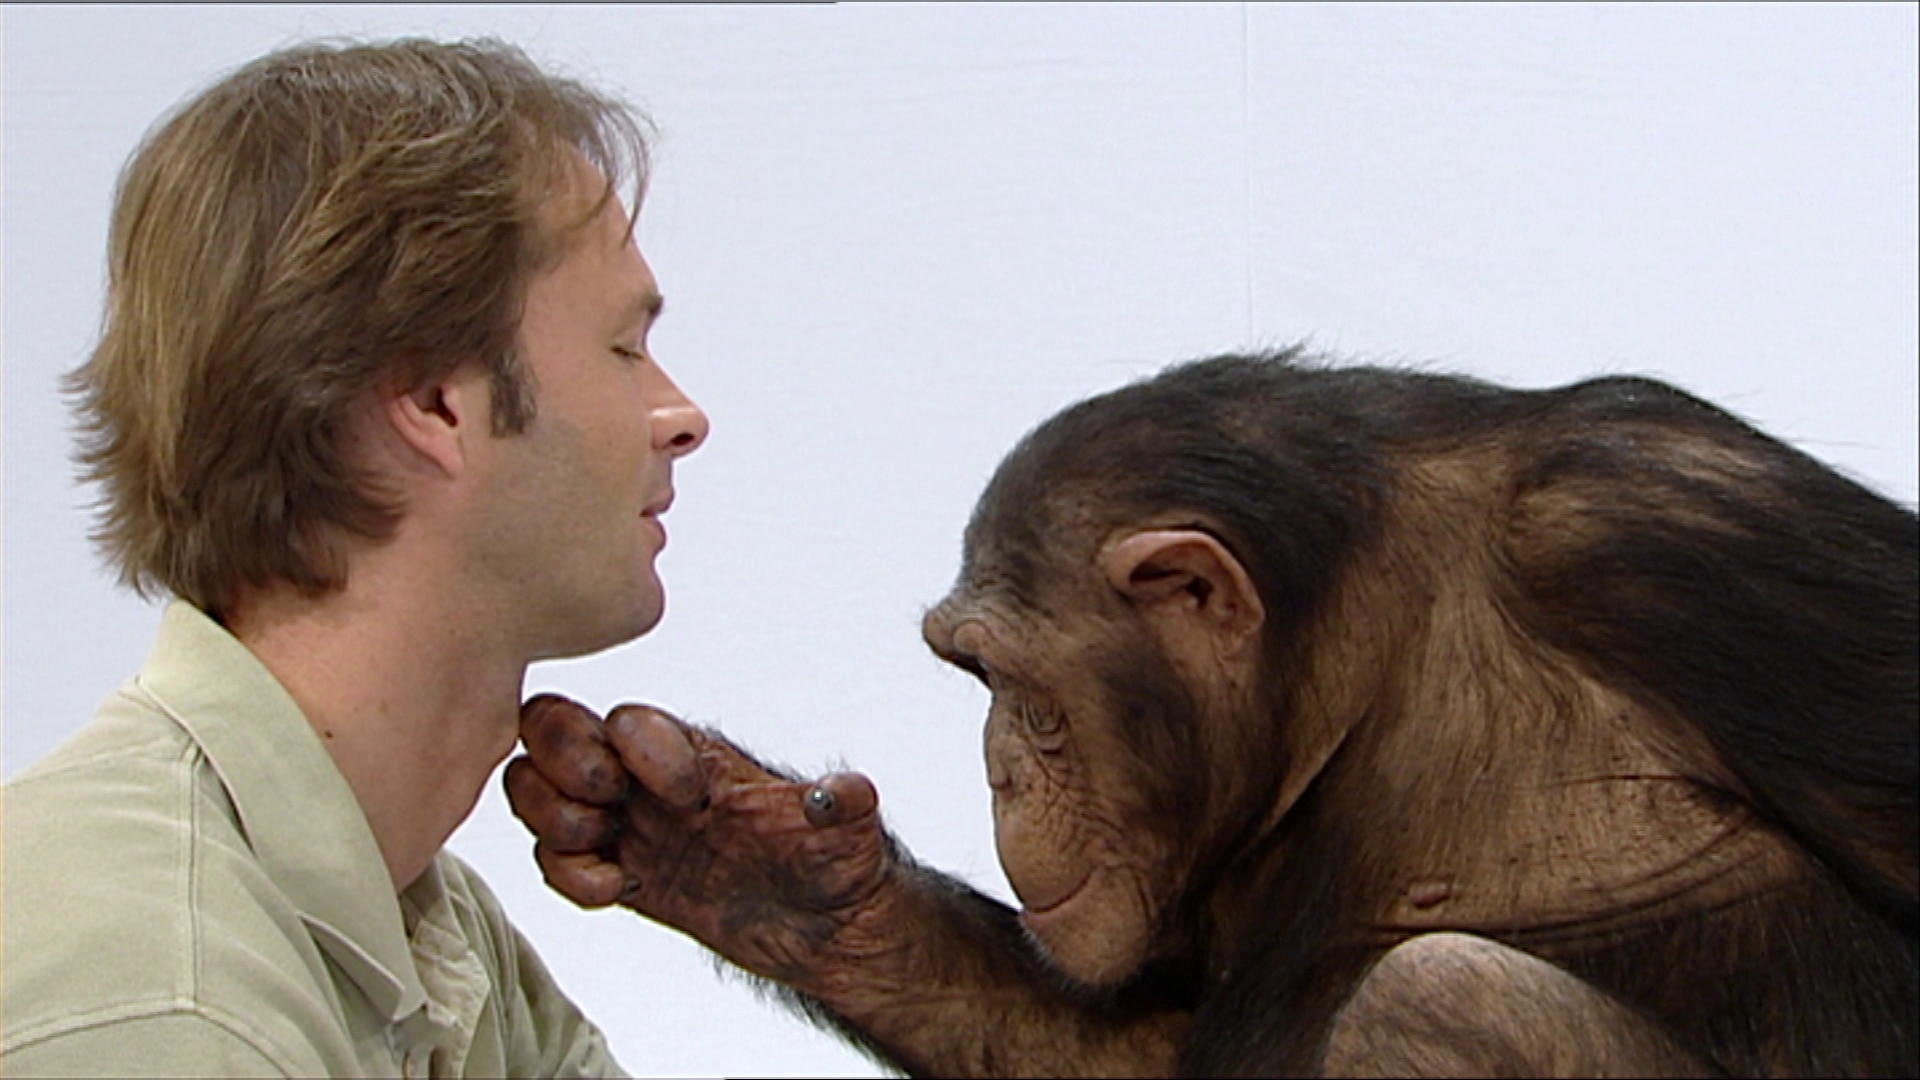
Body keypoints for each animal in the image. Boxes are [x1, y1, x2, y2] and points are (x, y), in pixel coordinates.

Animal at [507, 347, 1918, 1077]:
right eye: (971, 684)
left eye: (1018, 692)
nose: (998, 765)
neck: (1369, 642)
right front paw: (757, 864)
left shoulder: (1672, 530)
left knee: (1445, 999)